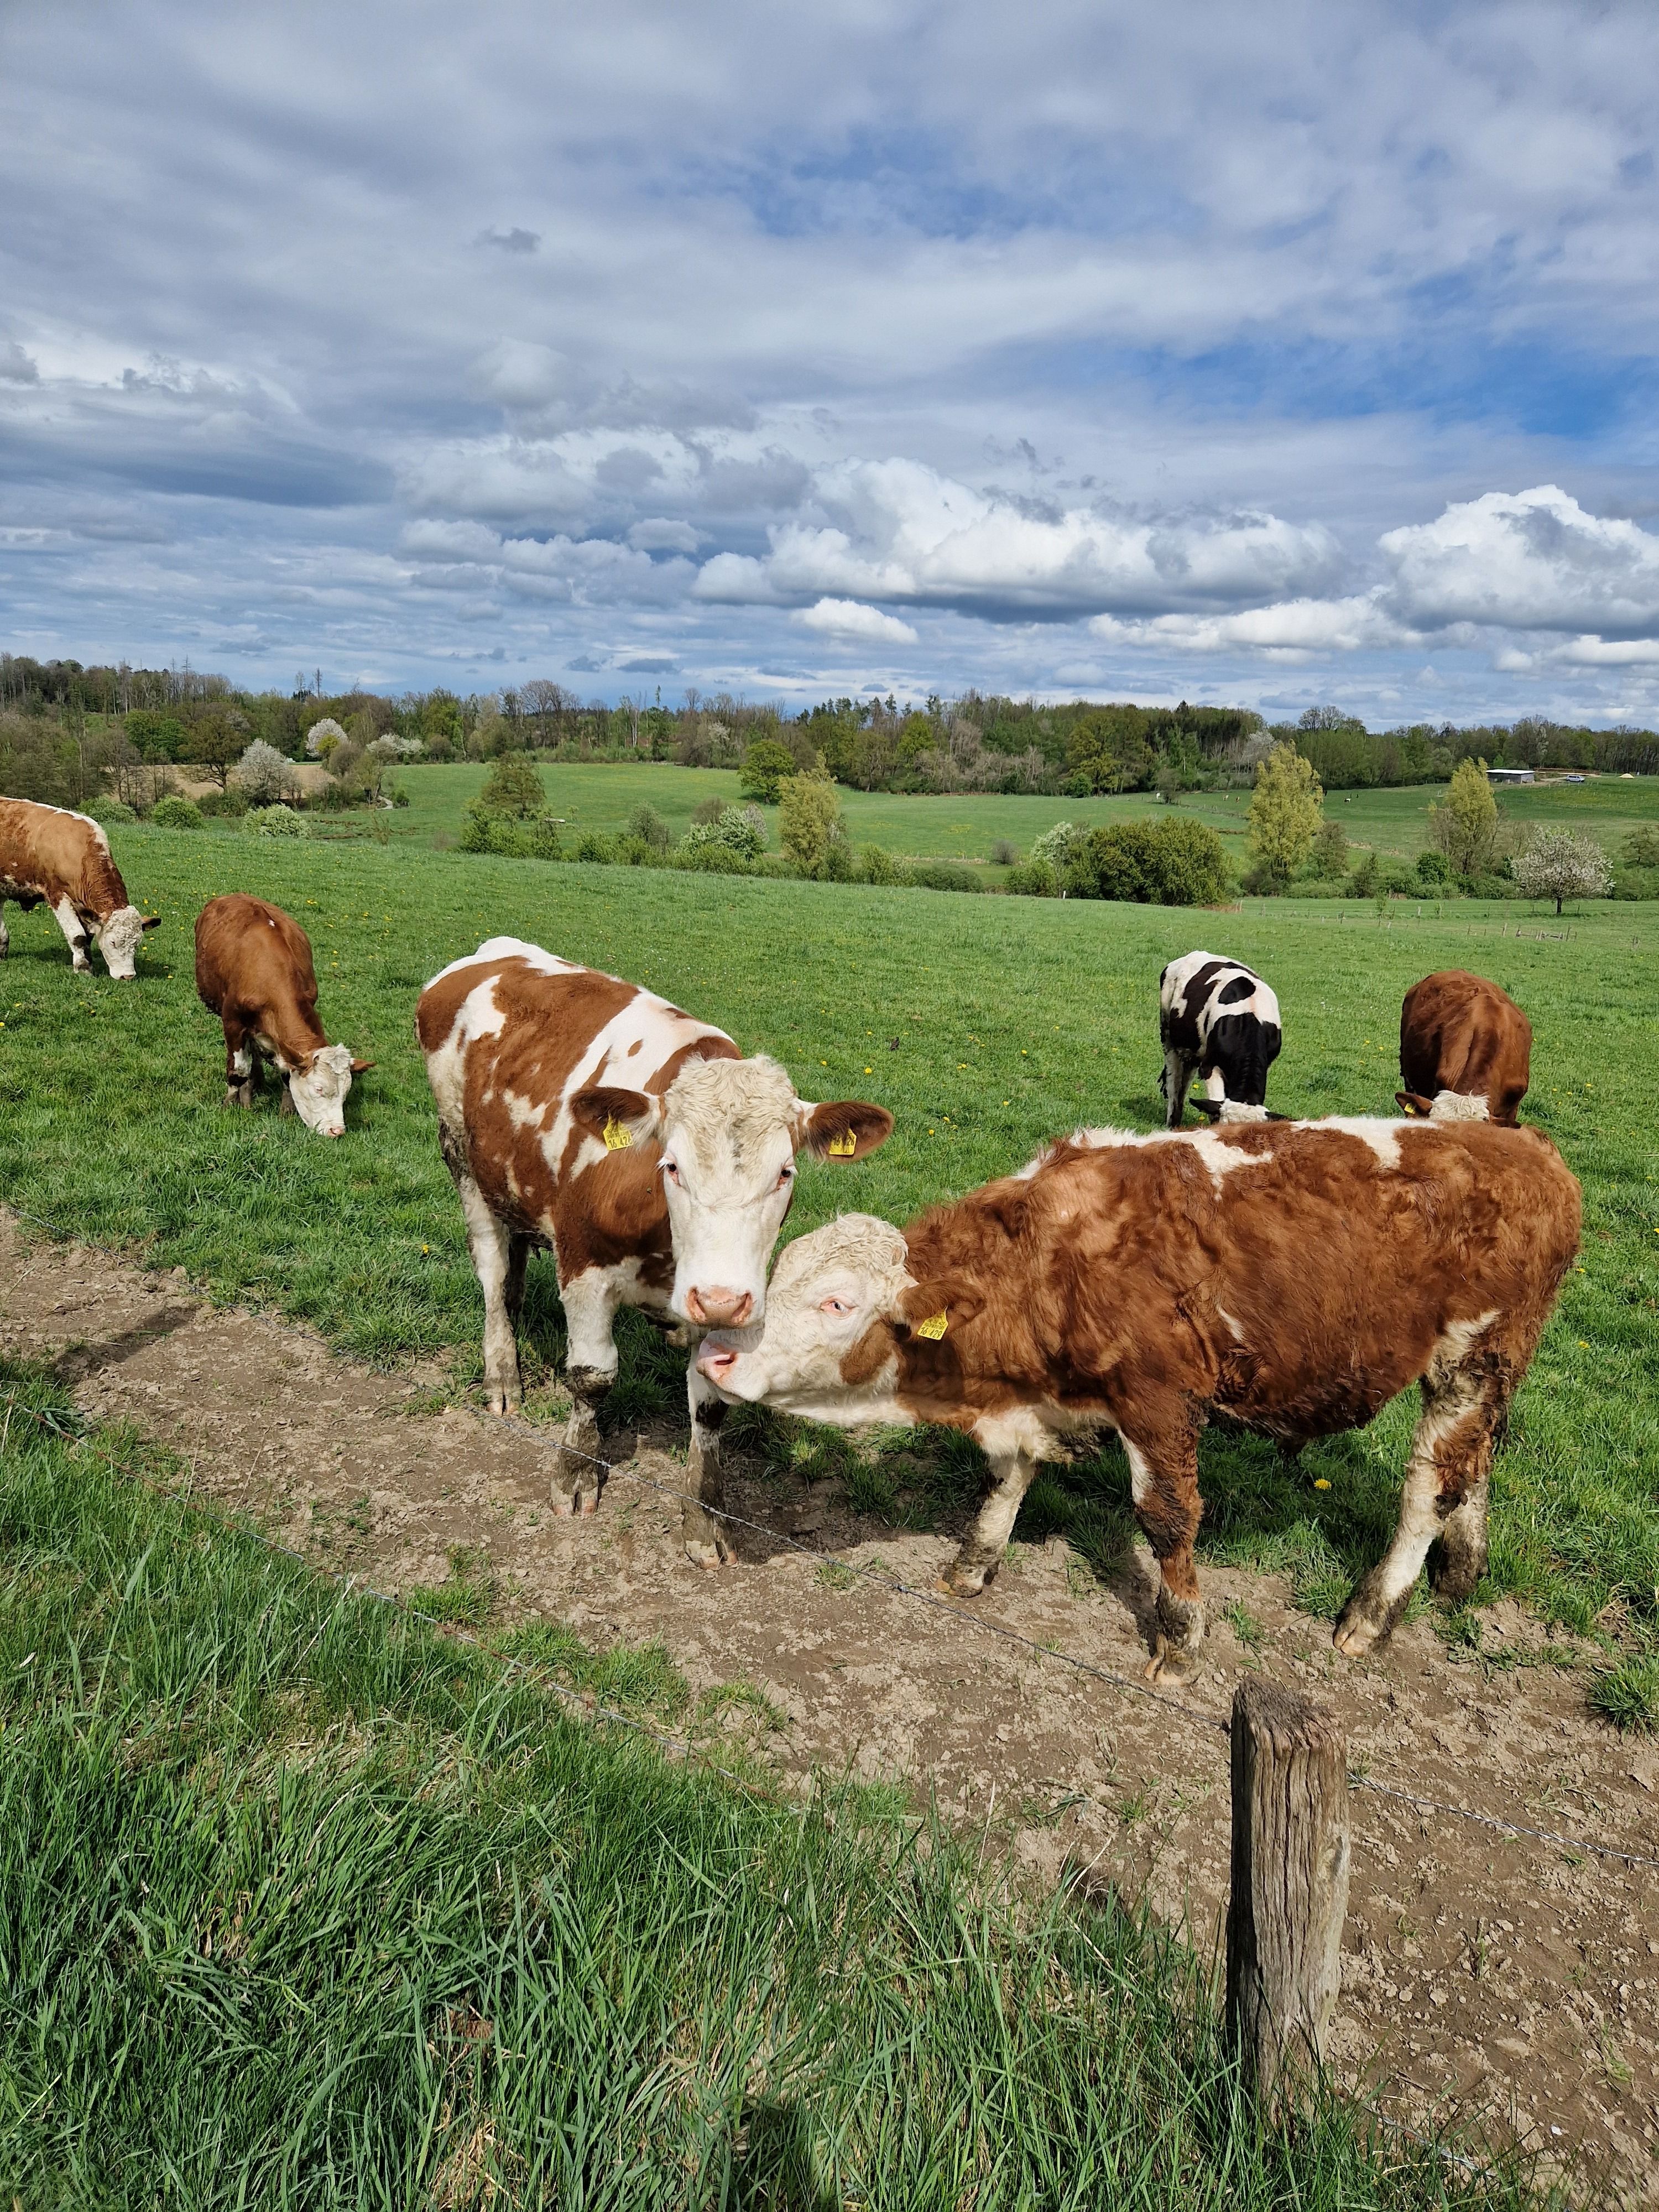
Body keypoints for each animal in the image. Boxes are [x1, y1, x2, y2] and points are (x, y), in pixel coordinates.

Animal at [0, 797, 159, 978]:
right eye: (113, 942)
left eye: (137, 943)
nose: (128, 976)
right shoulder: (57, 894)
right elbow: (78, 936)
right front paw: (83, 968)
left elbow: (88, 937)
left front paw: (88, 964)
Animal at [194, 894, 374, 1136]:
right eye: (318, 1088)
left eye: (346, 1092)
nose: (337, 1131)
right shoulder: (233, 1023)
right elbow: (238, 1071)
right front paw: (230, 1107)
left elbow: (287, 1074)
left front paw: (286, 1113)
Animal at [415, 938, 892, 1562]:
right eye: (672, 1166)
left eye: (785, 1172)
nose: (718, 1298)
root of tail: (494, 951)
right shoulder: (584, 1264)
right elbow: (592, 1375)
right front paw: (575, 1473)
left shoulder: (728, 1295)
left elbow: (711, 1403)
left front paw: (704, 1518)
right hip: (463, 1159)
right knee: (494, 1276)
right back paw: (502, 1376)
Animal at [697, 1115, 1579, 1681]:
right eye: (779, 1272)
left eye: (837, 1303)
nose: (717, 1353)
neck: (1049, 1259)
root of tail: (1523, 1145)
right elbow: (1006, 1478)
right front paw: (974, 1564)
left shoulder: (1159, 1400)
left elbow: (1167, 1518)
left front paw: (1181, 1640)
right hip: (1490, 1370)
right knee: (1474, 1463)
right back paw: (1462, 1572)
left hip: (1468, 1357)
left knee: (1429, 1486)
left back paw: (1374, 1612)